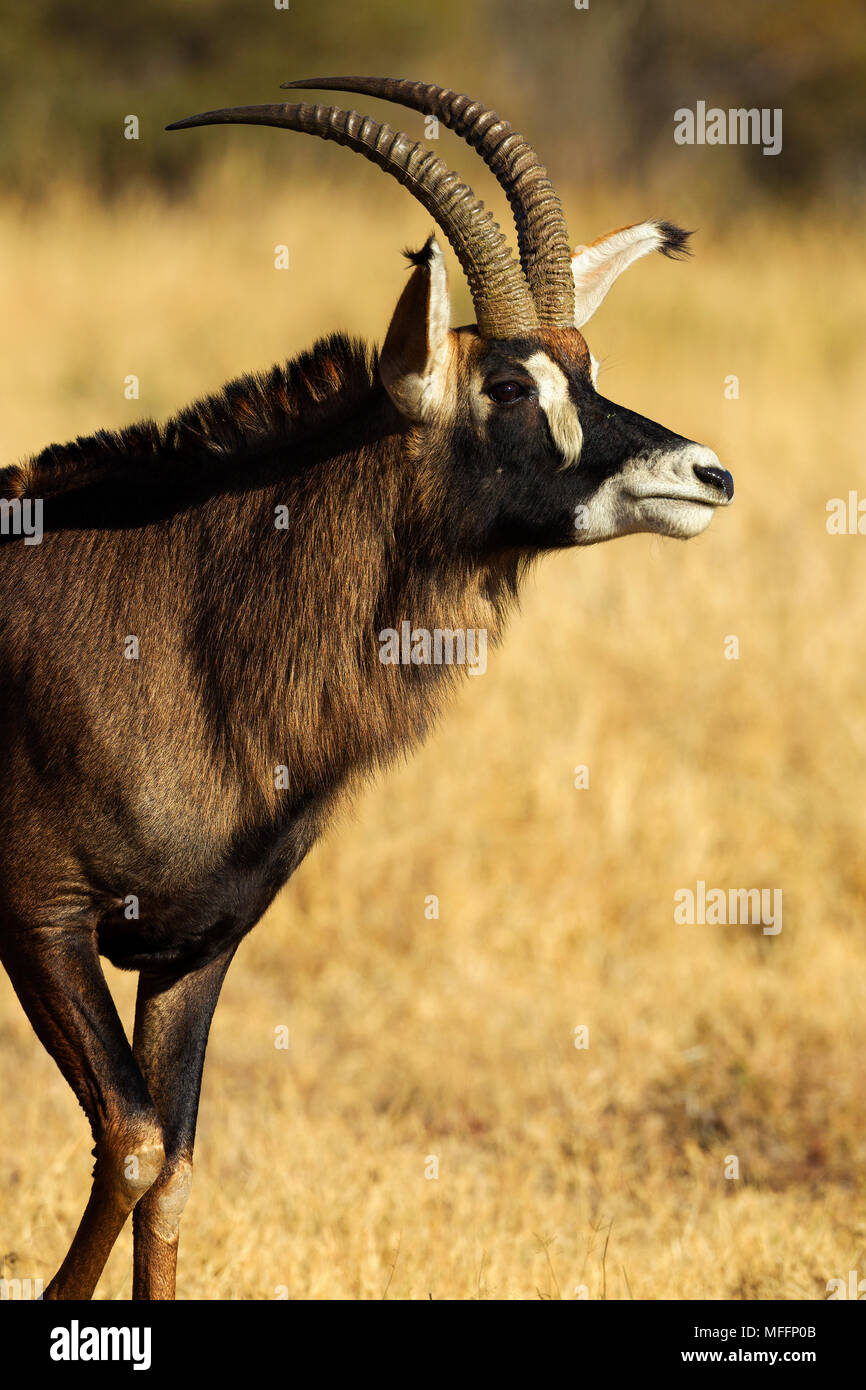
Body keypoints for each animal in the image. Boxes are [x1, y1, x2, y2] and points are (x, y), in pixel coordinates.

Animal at [0, 76, 733, 1301]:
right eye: (505, 383)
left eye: (586, 365)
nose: (707, 474)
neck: (182, 625)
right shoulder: (42, 919)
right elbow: (135, 1142)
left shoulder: (196, 947)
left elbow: (172, 1167)